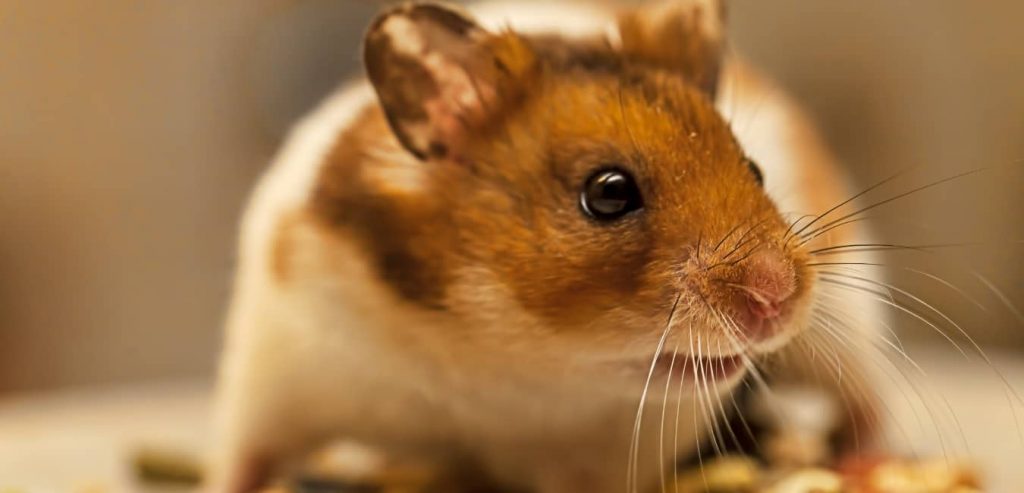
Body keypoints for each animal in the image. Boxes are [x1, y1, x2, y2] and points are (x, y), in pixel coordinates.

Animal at [208, 1, 885, 492]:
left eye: (755, 170)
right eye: (608, 193)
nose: (777, 297)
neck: (501, 357)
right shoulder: (271, 371)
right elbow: (246, 458)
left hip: (849, 324)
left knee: (865, 402)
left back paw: (859, 465)